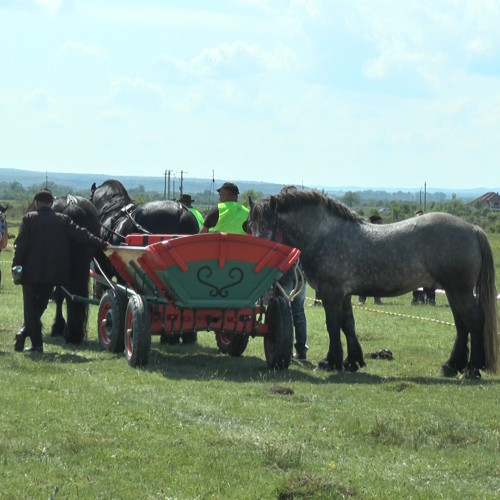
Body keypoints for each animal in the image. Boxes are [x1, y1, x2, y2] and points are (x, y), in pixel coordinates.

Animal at [248, 189, 498, 376]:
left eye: (268, 227)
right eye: (249, 226)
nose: (255, 262)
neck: (325, 235)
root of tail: (472, 228)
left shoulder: (331, 293)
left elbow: (333, 325)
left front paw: (331, 361)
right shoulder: (343, 294)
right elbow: (348, 325)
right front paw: (352, 361)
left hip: (460, 291)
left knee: (474, 321)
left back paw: (472, 369)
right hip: (454, 291)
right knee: (462, 326)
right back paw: (451, 366)